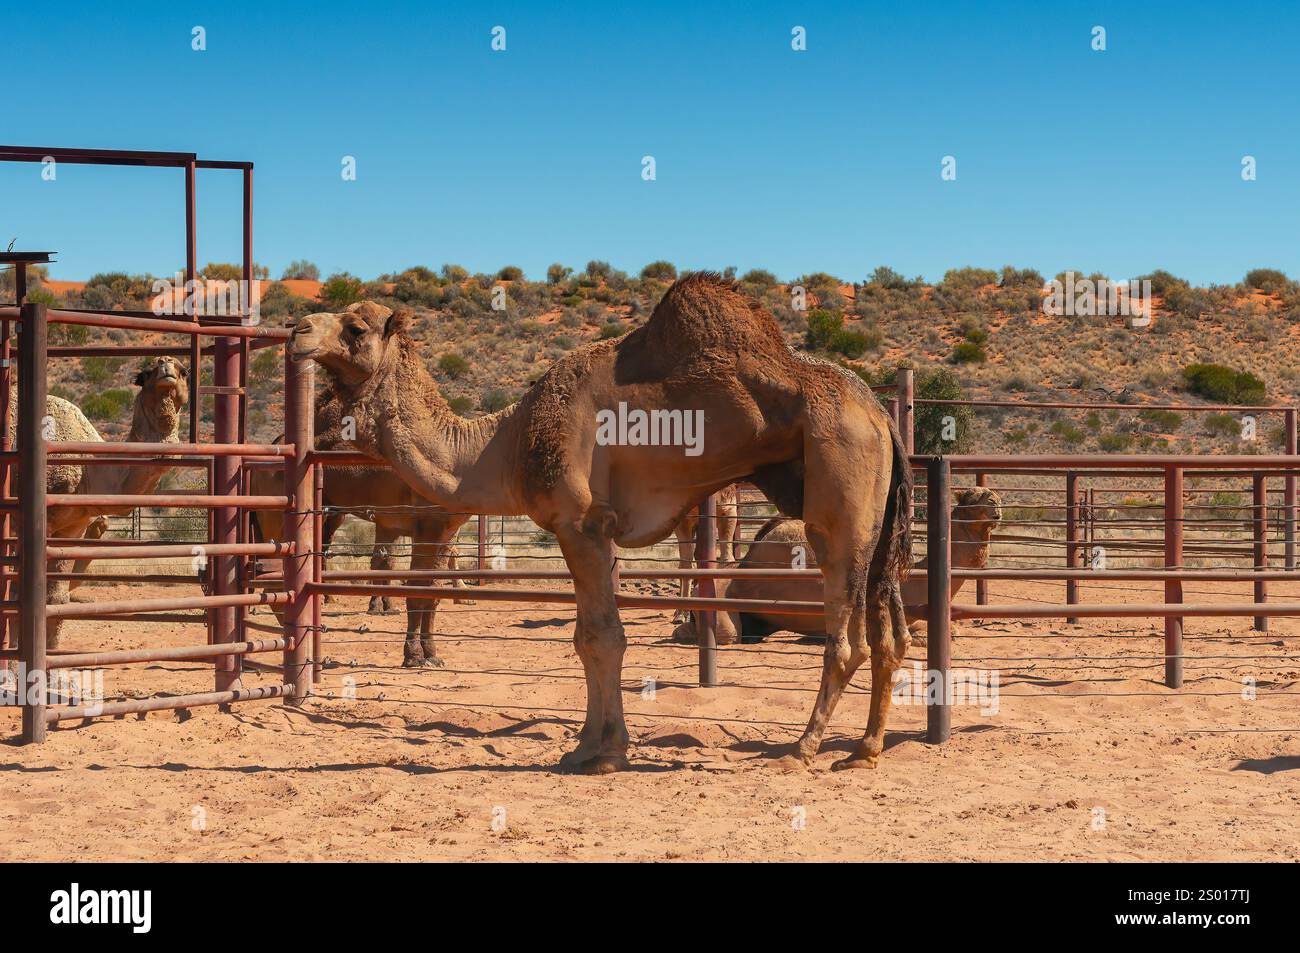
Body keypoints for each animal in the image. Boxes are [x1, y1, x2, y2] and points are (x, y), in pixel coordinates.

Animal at [9, 357, 188, 647]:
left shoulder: (73, 525)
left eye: (184, 371)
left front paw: (51, 655)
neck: (88, 466)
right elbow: (17, 594)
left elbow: (55, 597)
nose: (166, 366)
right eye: (145, 374)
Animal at [249, 374, 469, 667]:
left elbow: (430, 591)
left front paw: (431, 653)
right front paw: (412, 655)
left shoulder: (442, 531)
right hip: (278, 517)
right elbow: (414, 588)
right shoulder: (424, 527)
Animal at [288, 274, 911, 774]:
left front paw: (602, 754)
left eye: (356, 329)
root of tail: (881, 415)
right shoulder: (600, 531)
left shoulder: (579, 522)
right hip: (877, 521)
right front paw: (592, 743)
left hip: (839, 499)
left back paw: (801, 750)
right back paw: (864, 750)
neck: (507, 444)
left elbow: (599, 638)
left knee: (847, 638)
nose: (296, 328)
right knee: (892, 634)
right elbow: (592, 636)